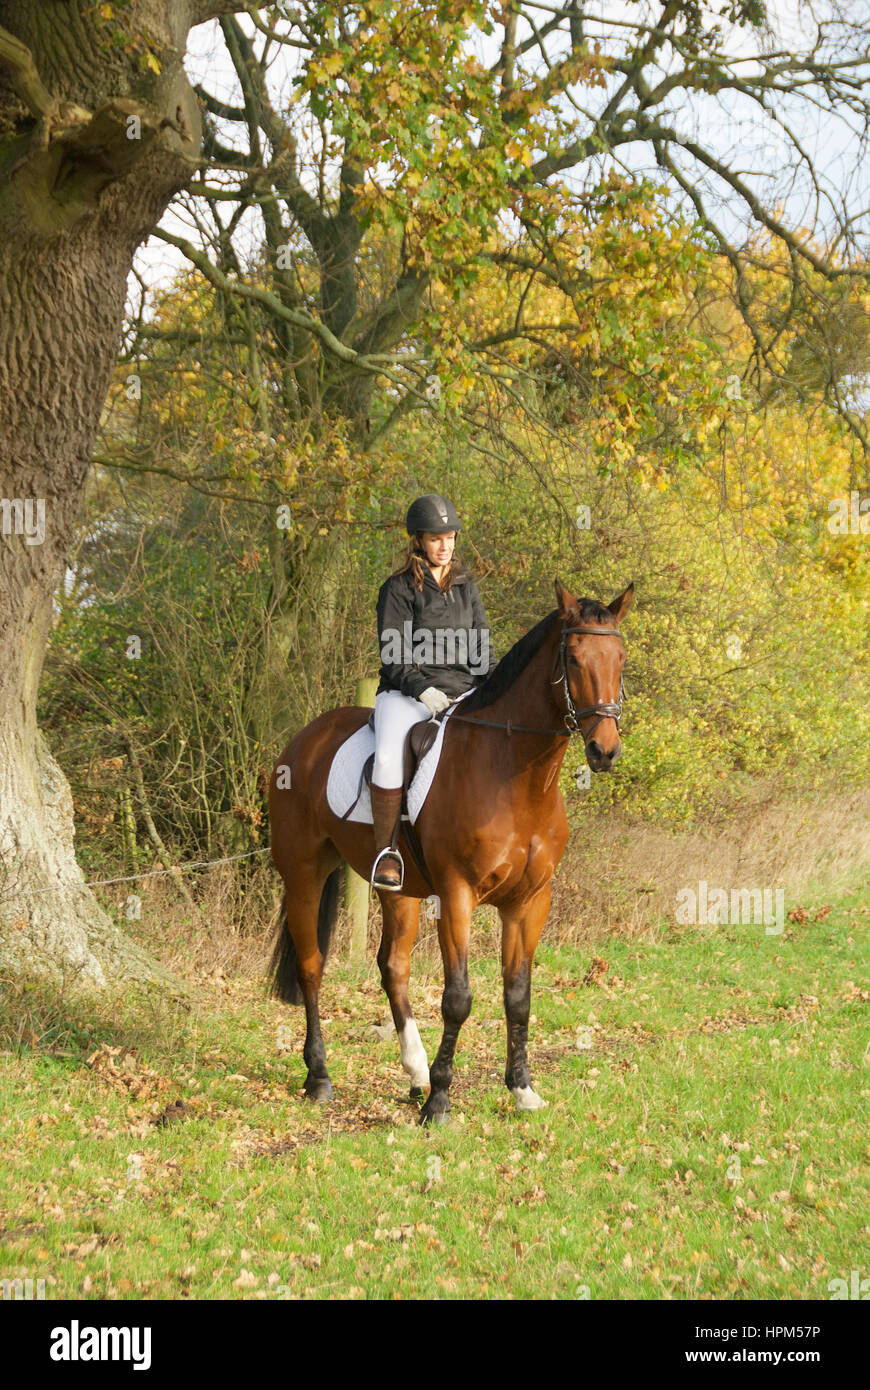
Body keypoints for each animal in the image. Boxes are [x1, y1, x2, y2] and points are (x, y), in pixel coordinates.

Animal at [268, 578, 633, 1124]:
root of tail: (304, 740)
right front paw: (440, 1101)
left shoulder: (529, 901)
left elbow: (518, 995)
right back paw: (320, 1077)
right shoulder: (458, 895)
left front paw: (521, 1089)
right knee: (312, 967)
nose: (604, 751)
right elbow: (458, 997)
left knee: (393, 967)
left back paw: (415, 1072)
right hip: (303, 875)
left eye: (620, 657)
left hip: (398, 890)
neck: (515, 774)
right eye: (572, 657)